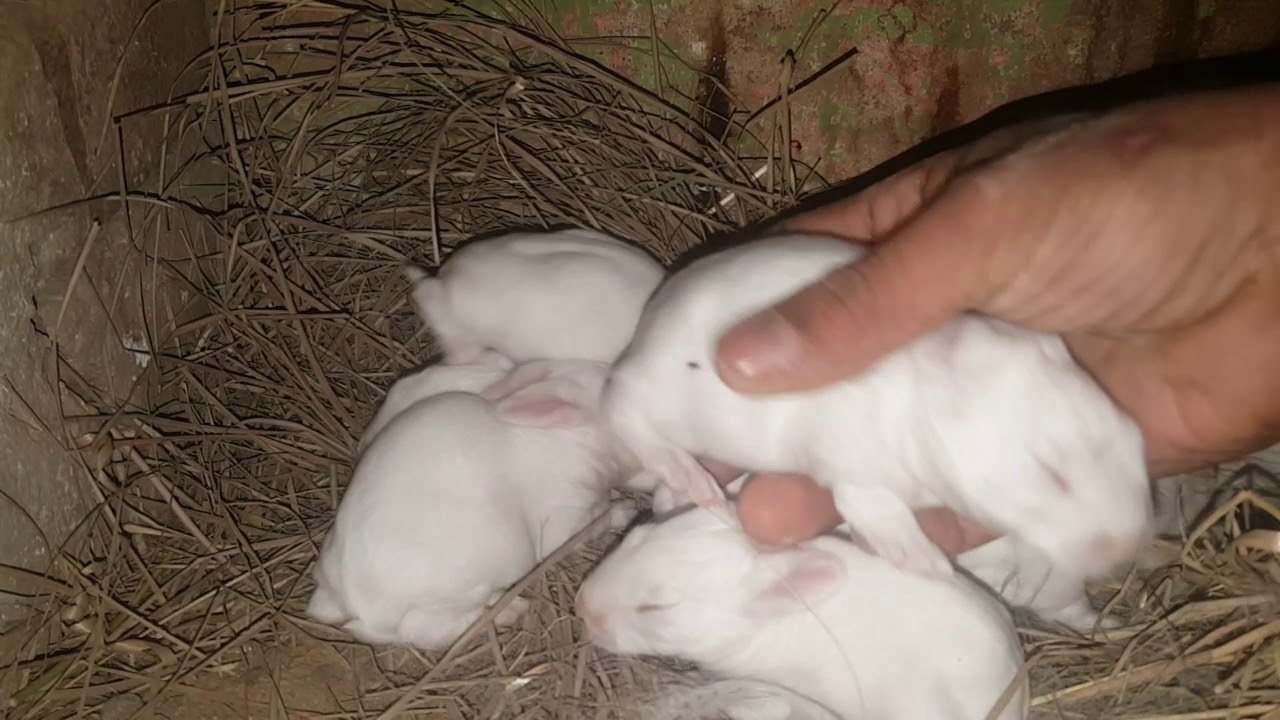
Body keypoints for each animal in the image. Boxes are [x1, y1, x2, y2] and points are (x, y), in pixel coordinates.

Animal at [306, 358, 641, 651]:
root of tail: (362, 609)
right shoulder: (565, 519)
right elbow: (594, 524)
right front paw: (625, 510)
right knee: (428, 631)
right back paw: (513, 610)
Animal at [602, 232, 1154, 583]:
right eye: (1050, 471)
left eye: (1135, 448)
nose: (1124, 549)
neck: (920, 405)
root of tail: (645, 328)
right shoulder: (856, 468)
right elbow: (873, 508)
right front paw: (925, 562)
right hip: (655, 397)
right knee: (622, 407)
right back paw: (693, 480)